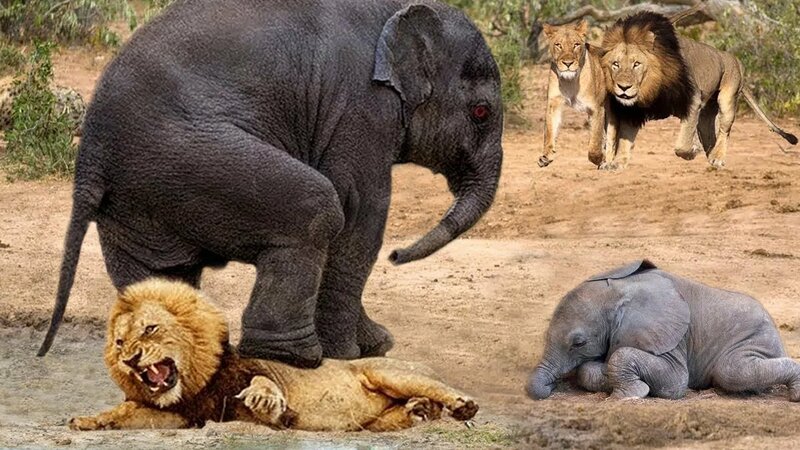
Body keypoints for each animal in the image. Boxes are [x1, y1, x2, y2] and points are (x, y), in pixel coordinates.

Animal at [37, 0, 503, 368]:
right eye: (480, 113)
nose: (398, 255)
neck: (397, 10)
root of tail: (91, 152)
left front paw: (376, 345)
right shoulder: (362, 108)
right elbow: (360, 213)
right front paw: (352, 353)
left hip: (138, 193)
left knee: (162, 274)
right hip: (192, 159)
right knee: (317, 210)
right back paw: (294, 357)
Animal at [69, 279, 478, 432]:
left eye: (150, 329)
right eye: (119, 343)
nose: (129, 360)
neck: (195, 382)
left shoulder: (254, 368)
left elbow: (262, 379)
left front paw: (266, 402)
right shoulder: (187, 415)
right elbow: (124, 413)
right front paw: (88, 420)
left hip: (392, 373)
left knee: (440, 390)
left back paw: (461, 405)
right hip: (374, 422)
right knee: (406, 413)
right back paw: (420, 410)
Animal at [527, 260, 800, 401]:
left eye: (579, 343)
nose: (550, 388)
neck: (619, 292)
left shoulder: (671, 338)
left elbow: (675, 382)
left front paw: (628, 395)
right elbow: (588, 369)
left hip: (754, 340)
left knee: (731, 371)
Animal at [538, 20, 607, 168]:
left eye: (576, 45)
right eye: (558, 45)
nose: (568, 63)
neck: (570, 81)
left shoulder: (597, 108)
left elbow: (594, 143)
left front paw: (600, 158)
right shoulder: (554, 103)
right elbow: (549, 130)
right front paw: (546, 156)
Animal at [595, 11, 797, 170]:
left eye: (636, 64)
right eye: (615, 64)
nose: (623, 87)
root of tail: (735, 60)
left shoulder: (693, 100)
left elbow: (682, 144)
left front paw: (693, 150)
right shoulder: (634, 110)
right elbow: (625, 138)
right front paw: (617, 163)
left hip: (727, 97)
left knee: (724, 130)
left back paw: (718, 158)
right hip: (707, 112)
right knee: (709, 134)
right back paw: (712, 156)